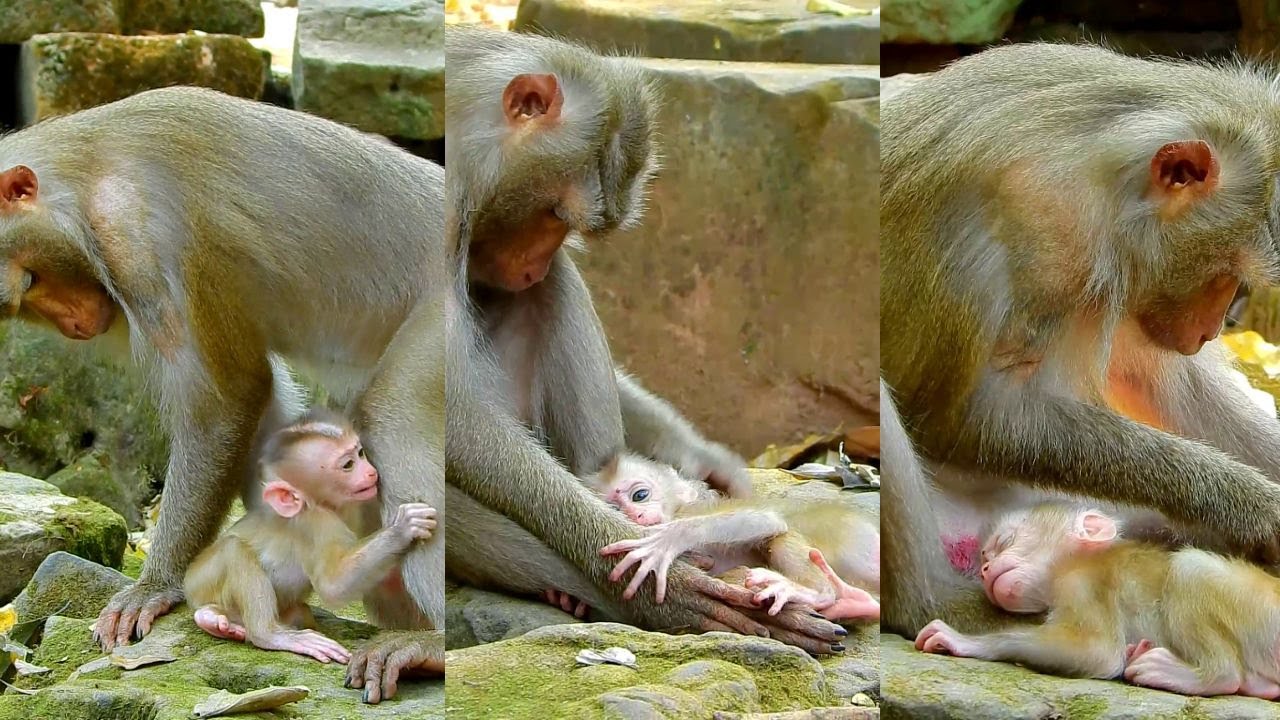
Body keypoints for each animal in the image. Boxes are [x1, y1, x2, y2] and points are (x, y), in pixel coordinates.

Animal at [184, 408, 436, 663]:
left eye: (361, 453)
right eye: (348, 465)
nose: (370, 472)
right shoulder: (317, 522)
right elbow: (333, 585)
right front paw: (403, 528)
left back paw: (213, 620)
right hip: (202, 581)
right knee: (233, 549)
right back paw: (269, 635)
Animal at [443, 26, 844, 655]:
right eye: (553, 211)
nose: (535, 262)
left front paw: (707, 464)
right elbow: (452, 413)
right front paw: (678, 587)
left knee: (556, 290)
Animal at [587, 453, 879, 623]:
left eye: (640, 495)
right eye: (615, 509)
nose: (635, 516)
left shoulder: (690, 511)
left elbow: (767, 521)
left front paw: (666, 540)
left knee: (780, 536)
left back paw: (819, 594)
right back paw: (857, 604)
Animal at [881, 42, 1280, 640]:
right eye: (1226, 271)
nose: (1214, 327)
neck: (1108, 175)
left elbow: (1167, 383)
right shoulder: (1049, 232)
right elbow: (977, 417)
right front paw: (1257, 509)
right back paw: (940, 607)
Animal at [917, 502, 1280, 699]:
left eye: (1005, 542)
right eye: (985, 556)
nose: (985, 569)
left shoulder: (1080, 583)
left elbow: (1097, 651)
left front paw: (964, 641)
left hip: (1264, 612)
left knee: (1190, 568)